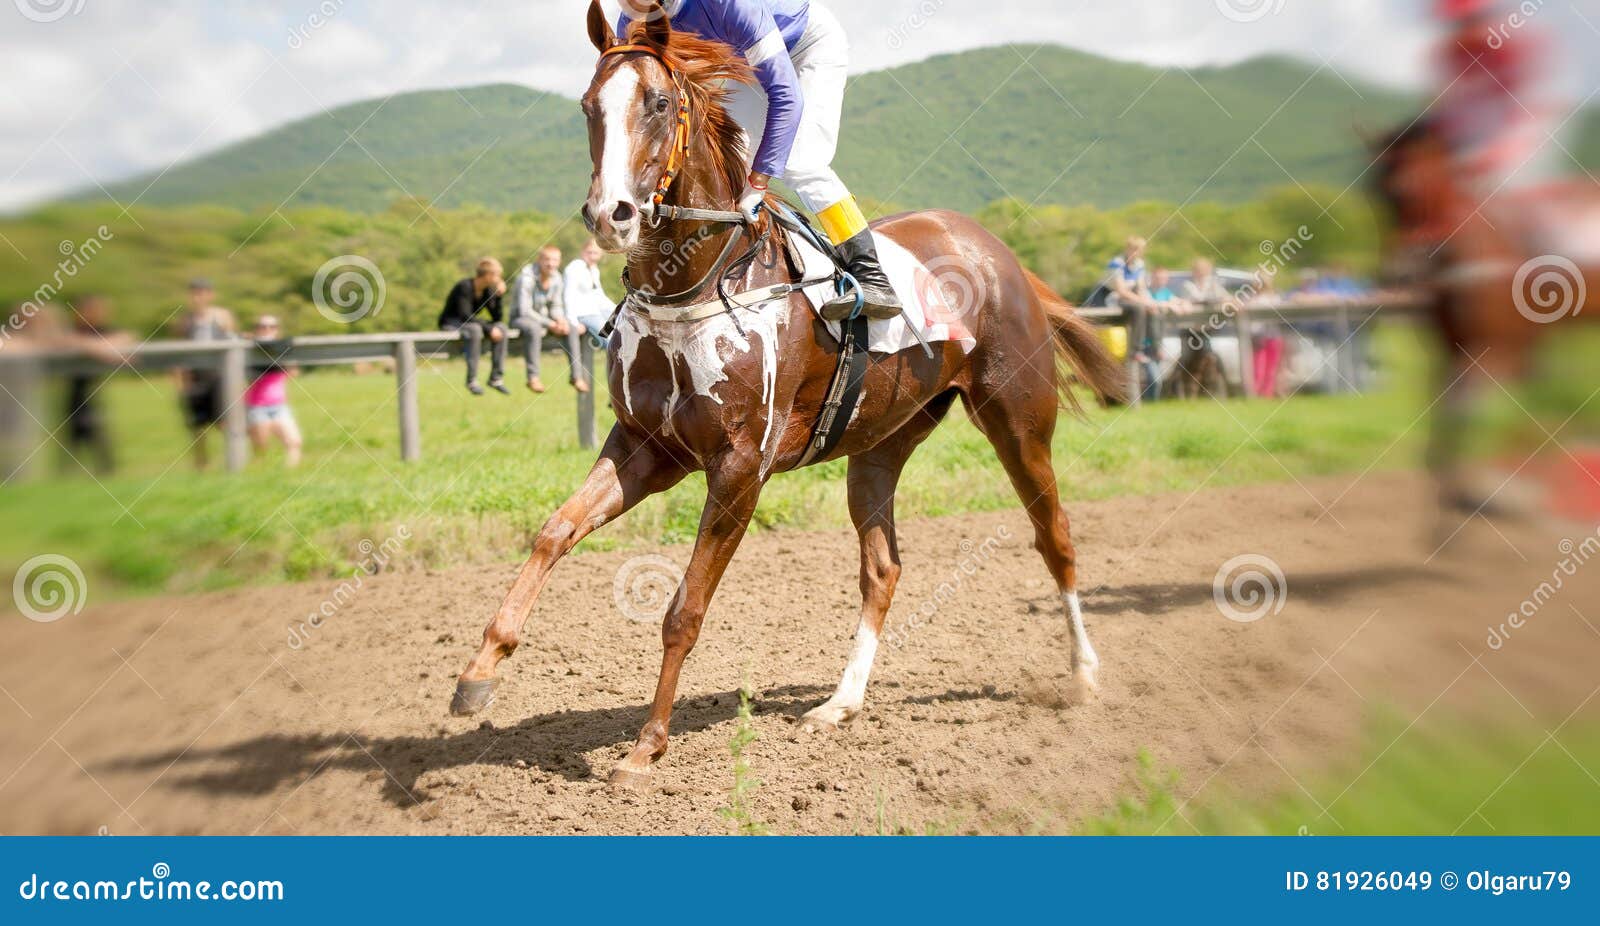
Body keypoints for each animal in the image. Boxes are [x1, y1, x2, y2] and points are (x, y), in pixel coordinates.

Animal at [448, 1, 1126, 789]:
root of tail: (997, 252)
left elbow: (684, 608)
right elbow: (554, 531)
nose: (611, 215)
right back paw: (841, 703)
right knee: (882, 569)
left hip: (1017, 421)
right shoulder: (646, 448)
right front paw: (478, 673)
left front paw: (647, 745)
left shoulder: (741, 468)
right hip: (881, 444)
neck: (698, 280)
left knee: (1056, 539)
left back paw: (1084, 674)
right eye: (589, 106)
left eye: (658, 103)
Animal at [1370, 122, 1598, 524]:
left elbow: (1467, 418)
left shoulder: (1498, 353)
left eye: (1408, 189)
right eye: (1376, 191)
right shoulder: (1455, 352)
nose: (1399, 271)